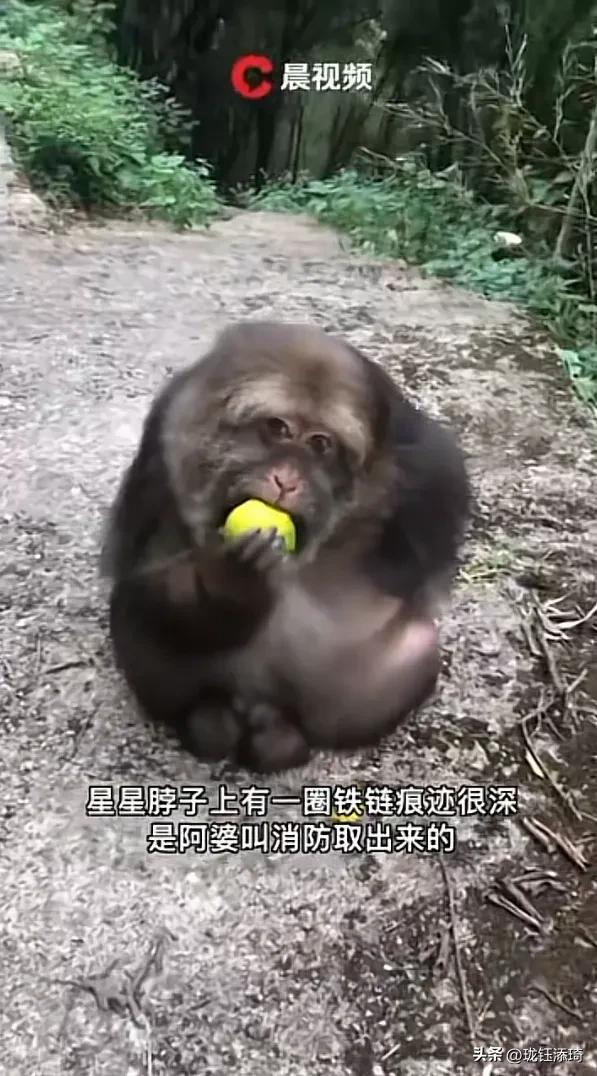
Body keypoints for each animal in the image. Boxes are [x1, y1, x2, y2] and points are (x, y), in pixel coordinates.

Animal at [101, 321, 470, 773]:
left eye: (320, 444)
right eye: (277, 428)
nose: (286, 479)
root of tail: (258, 705)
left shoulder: (418, 455)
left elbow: (419, 563)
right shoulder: (166, 440)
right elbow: (146, 569)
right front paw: (232, 585)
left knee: (413, 654)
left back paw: (282, 743)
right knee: (134, 614)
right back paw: (207, 721)